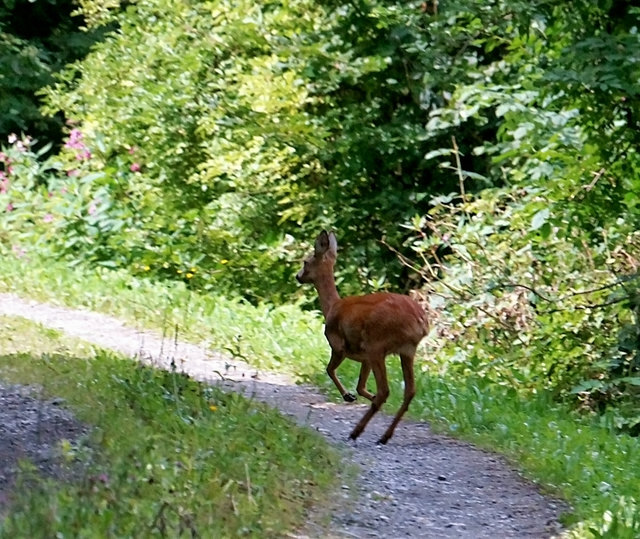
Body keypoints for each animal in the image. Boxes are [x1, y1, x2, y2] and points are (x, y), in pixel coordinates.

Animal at [296, 230, 429, 444]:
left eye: (306, 261)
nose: (298, 276)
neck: (331, 307)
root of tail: (421, 322)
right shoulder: (364, 357)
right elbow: (360, 386)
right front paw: (361, 396)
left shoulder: (338, 345)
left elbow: (330, 370)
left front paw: (348, 396)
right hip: (406, 350)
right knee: (410, 391)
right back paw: (384, 436)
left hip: (378, 344)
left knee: (385, 390)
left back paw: (356, 432)